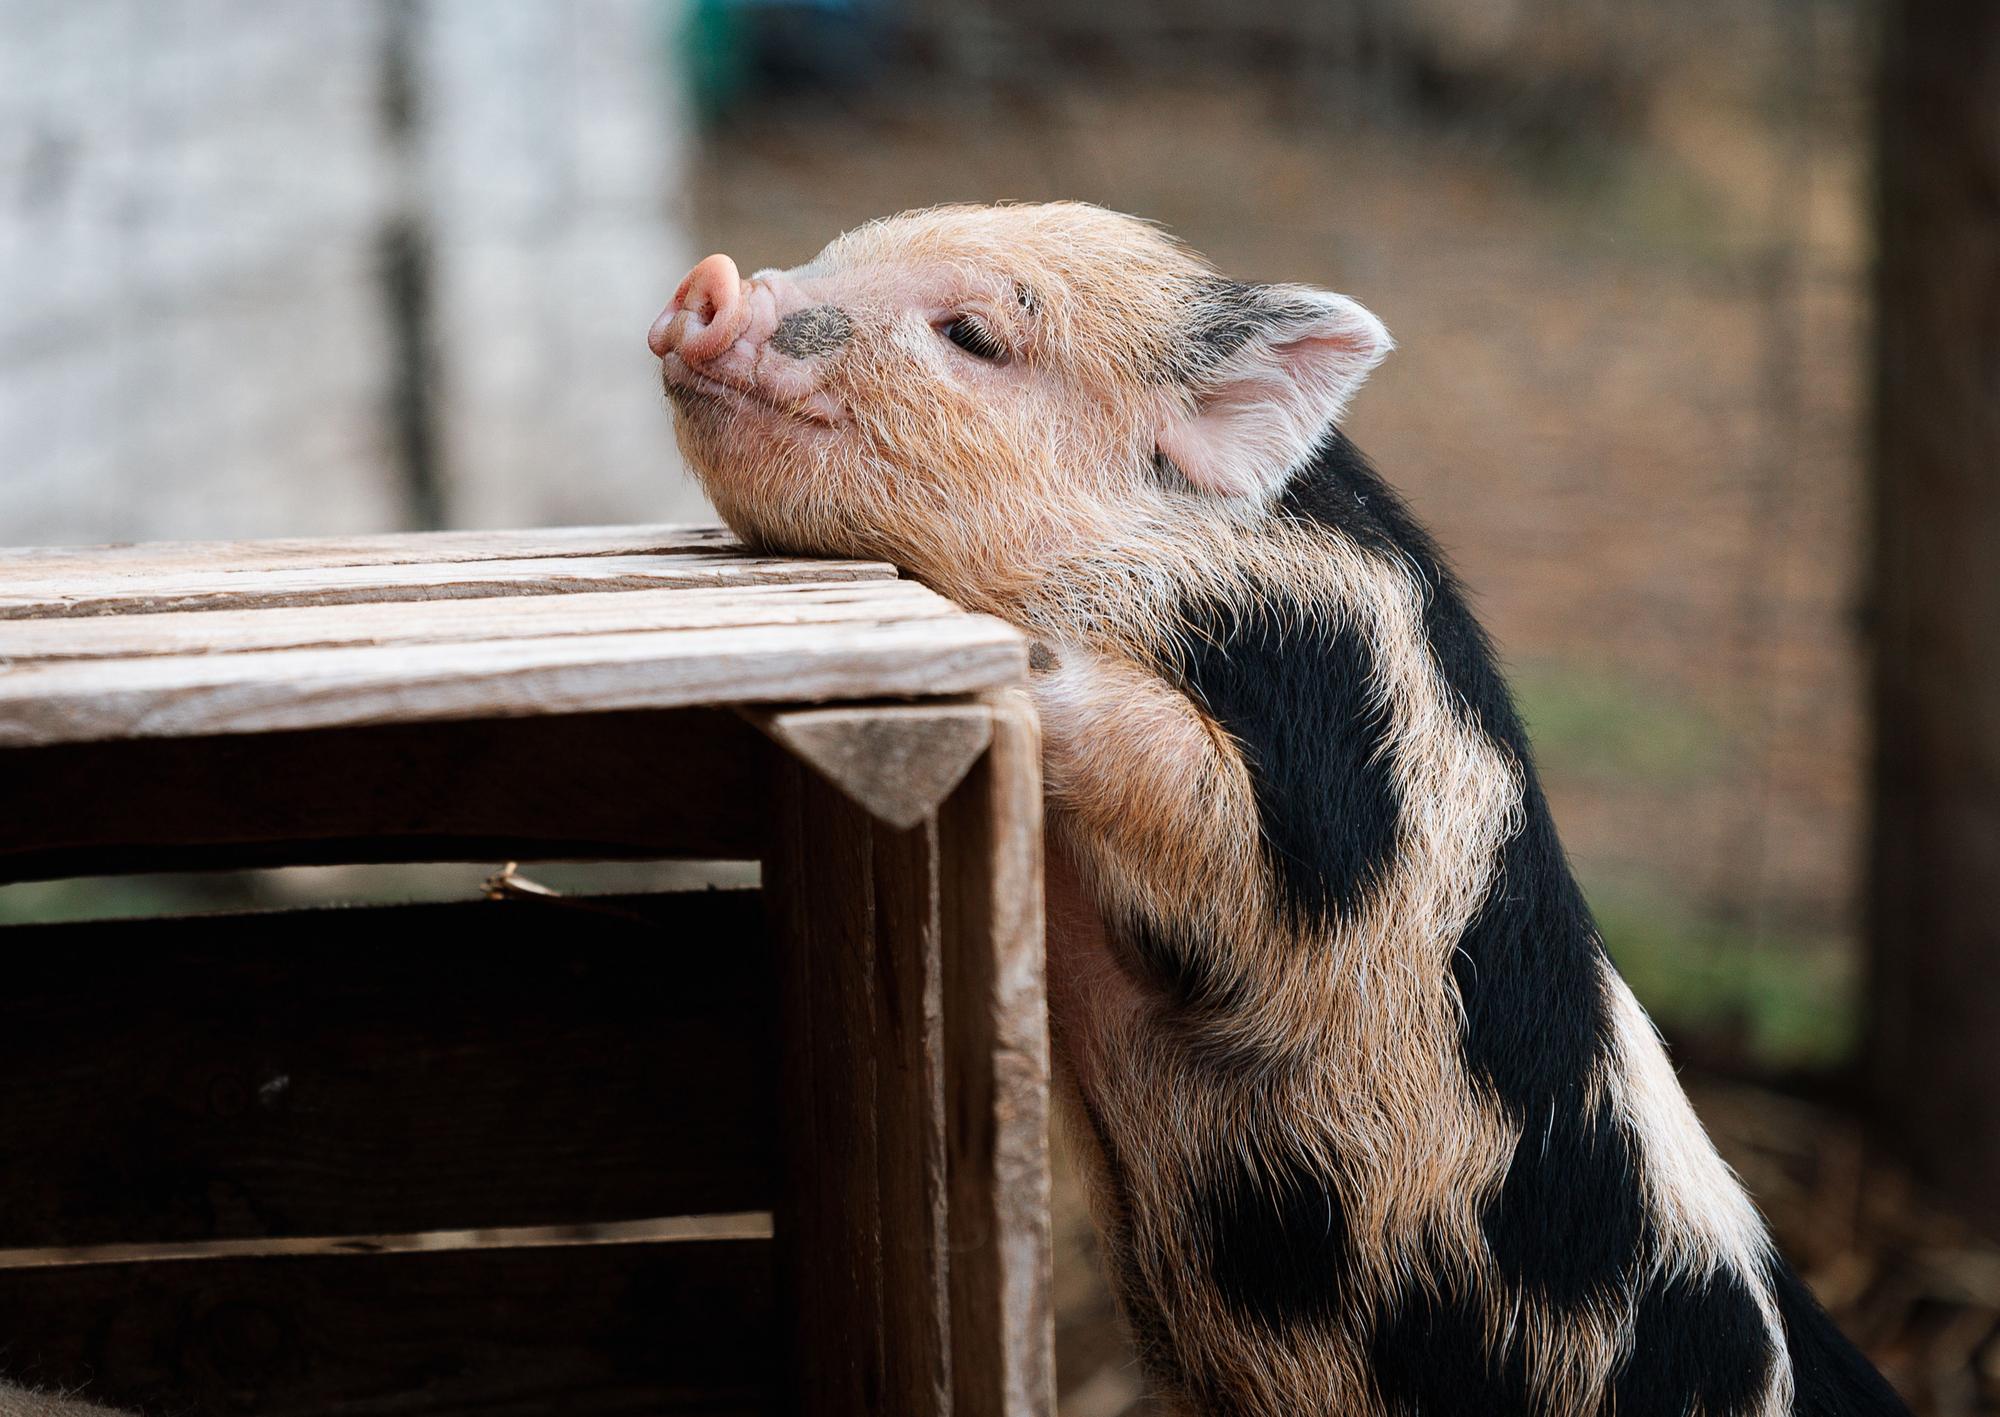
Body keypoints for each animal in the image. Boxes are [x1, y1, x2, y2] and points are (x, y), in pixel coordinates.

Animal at [651, 202, 1910, 1416]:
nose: (710, 283)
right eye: (831, 251)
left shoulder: (1325, 777)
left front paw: (1017, 647)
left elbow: (1205, 814)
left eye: (974, 336)